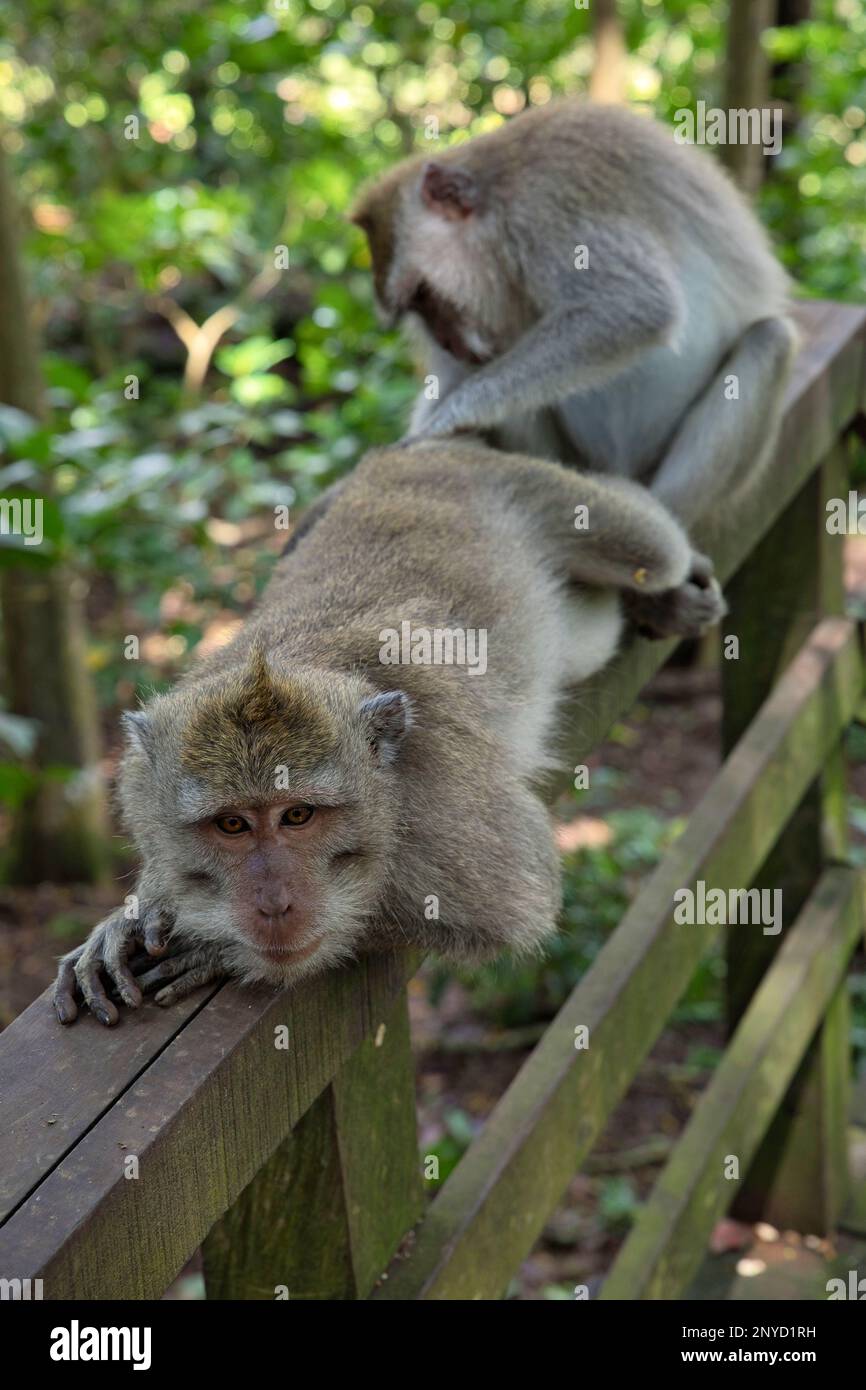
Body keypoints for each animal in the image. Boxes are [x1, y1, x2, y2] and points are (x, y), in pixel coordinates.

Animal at [52, 437, 721, 1026]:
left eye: (298, 816)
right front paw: (134, 916)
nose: (274, 906)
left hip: (537, 489)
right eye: (232, 825)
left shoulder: (447, 808)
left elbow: (515, 898)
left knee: (654, 549)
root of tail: (408, 458)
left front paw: (213, 946)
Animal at [350, 99, 797, 624]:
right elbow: (459, 379)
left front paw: (447, 418)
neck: (496, 208)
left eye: (424, 295)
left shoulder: (545, 211)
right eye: (417, 310)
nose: (444, 339)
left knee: (771, 341)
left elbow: (634, 307)